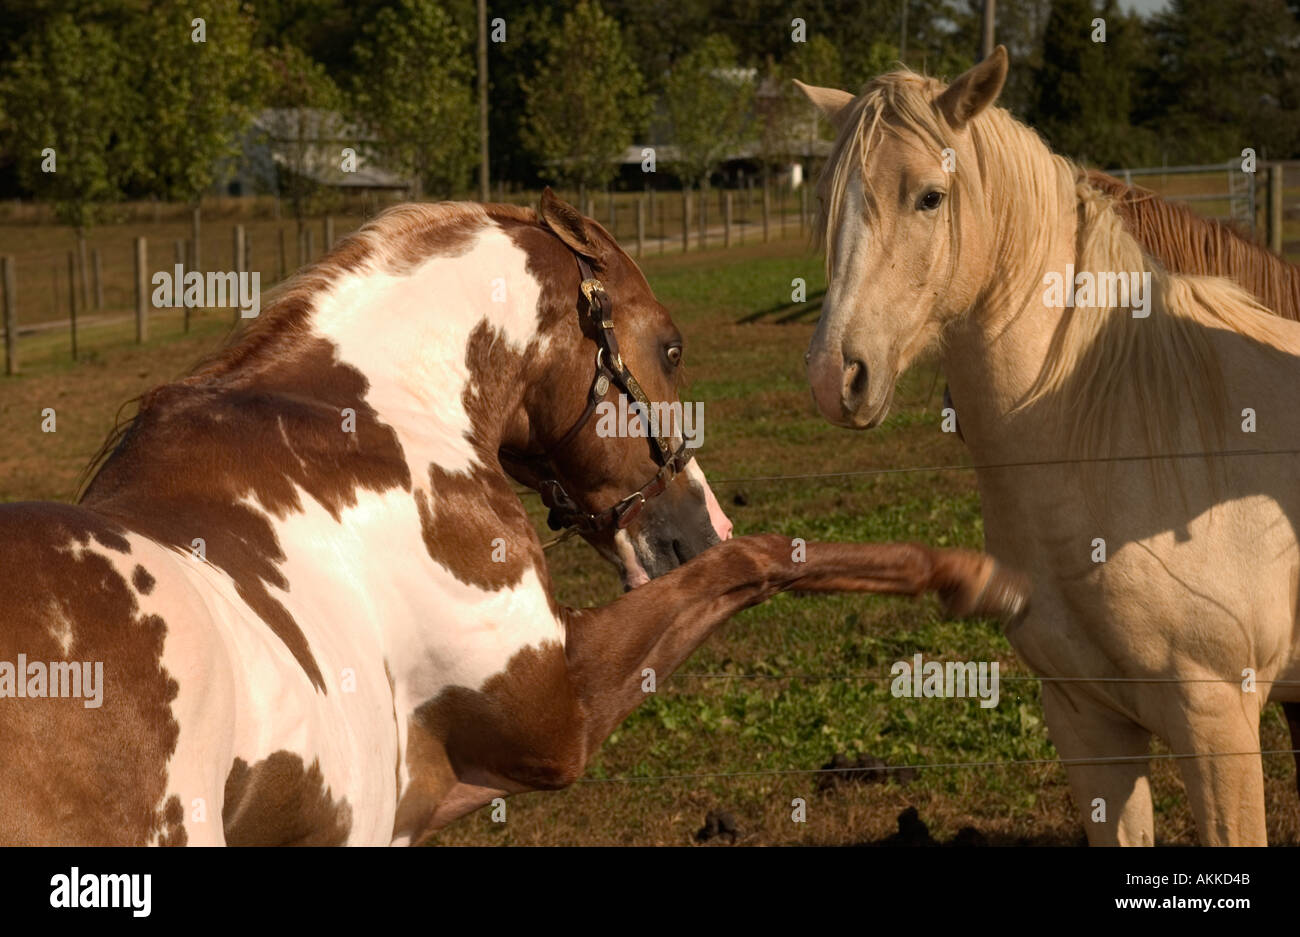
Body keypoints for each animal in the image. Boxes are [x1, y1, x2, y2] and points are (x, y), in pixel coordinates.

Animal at [0, 188, 1028, 845]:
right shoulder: (556, 719)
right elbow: (770, 559)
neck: (372, 421)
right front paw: (968, 574)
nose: (694, 527)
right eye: (670, 345)